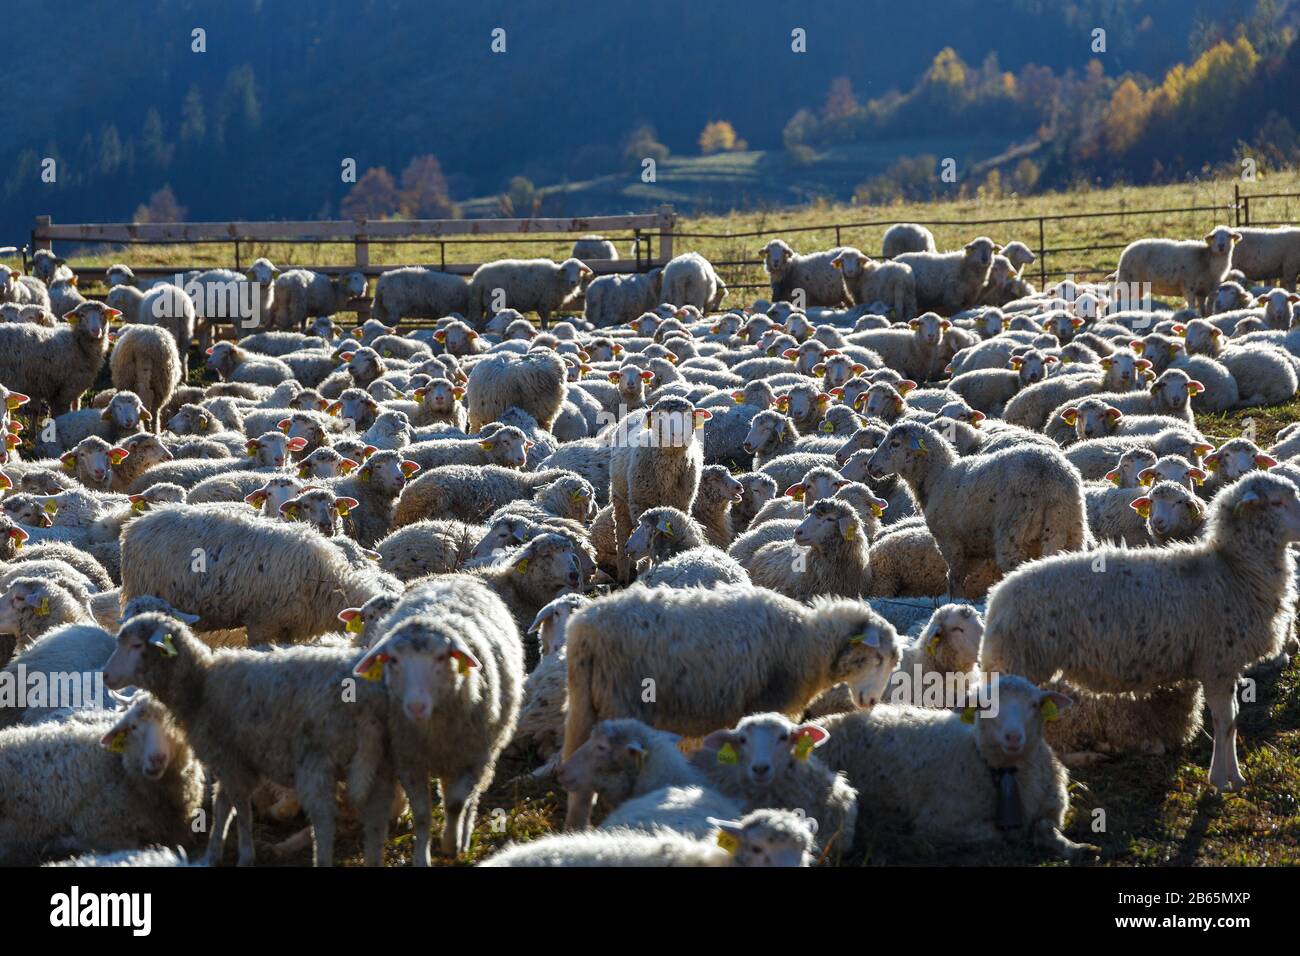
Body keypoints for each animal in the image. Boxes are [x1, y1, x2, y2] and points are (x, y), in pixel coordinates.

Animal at [351, 575, 523, 861]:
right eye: (393, 660)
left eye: (442, 657)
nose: (416, 706)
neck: (432, 728)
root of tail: (454, 576)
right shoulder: (408, 759)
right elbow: (422, 815)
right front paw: (422, 857)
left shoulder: (473, 757)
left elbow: (456, 804)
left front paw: (451, 844)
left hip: (482, 753)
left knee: (470, 798)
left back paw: (464, 834)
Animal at [562, 586, 899, 827]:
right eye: (879, 657)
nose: (871, 702)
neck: (811, 644)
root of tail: (583, 629)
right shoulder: (770, 702)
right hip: (621, 698)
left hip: (582, 704)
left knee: (577, 781)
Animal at [815, 674, 1092, 859]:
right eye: (985, 706)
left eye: (1034, 705)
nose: (1013, 737)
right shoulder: (937, 822)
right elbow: (998, 834)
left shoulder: (1052, 809)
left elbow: (1046, 827)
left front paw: (1080, 848)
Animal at [866, 421, 1086, 597]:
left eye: (895, 444)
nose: (869, 466)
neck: (937, 478)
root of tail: (1050, 476)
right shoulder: (972, 550)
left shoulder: (950, 542)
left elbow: (953, 579)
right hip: (1070, 525)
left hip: (1013, 531)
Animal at [979, 473, 1300, 792]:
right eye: (1276, 502)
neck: (1233, 570)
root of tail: (998, 596)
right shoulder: (1217, 663)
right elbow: (1226, 721)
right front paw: (1223, 780)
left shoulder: (1225, 666)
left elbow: (1231, 720)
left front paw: (1231, 777)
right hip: (1022, 662)